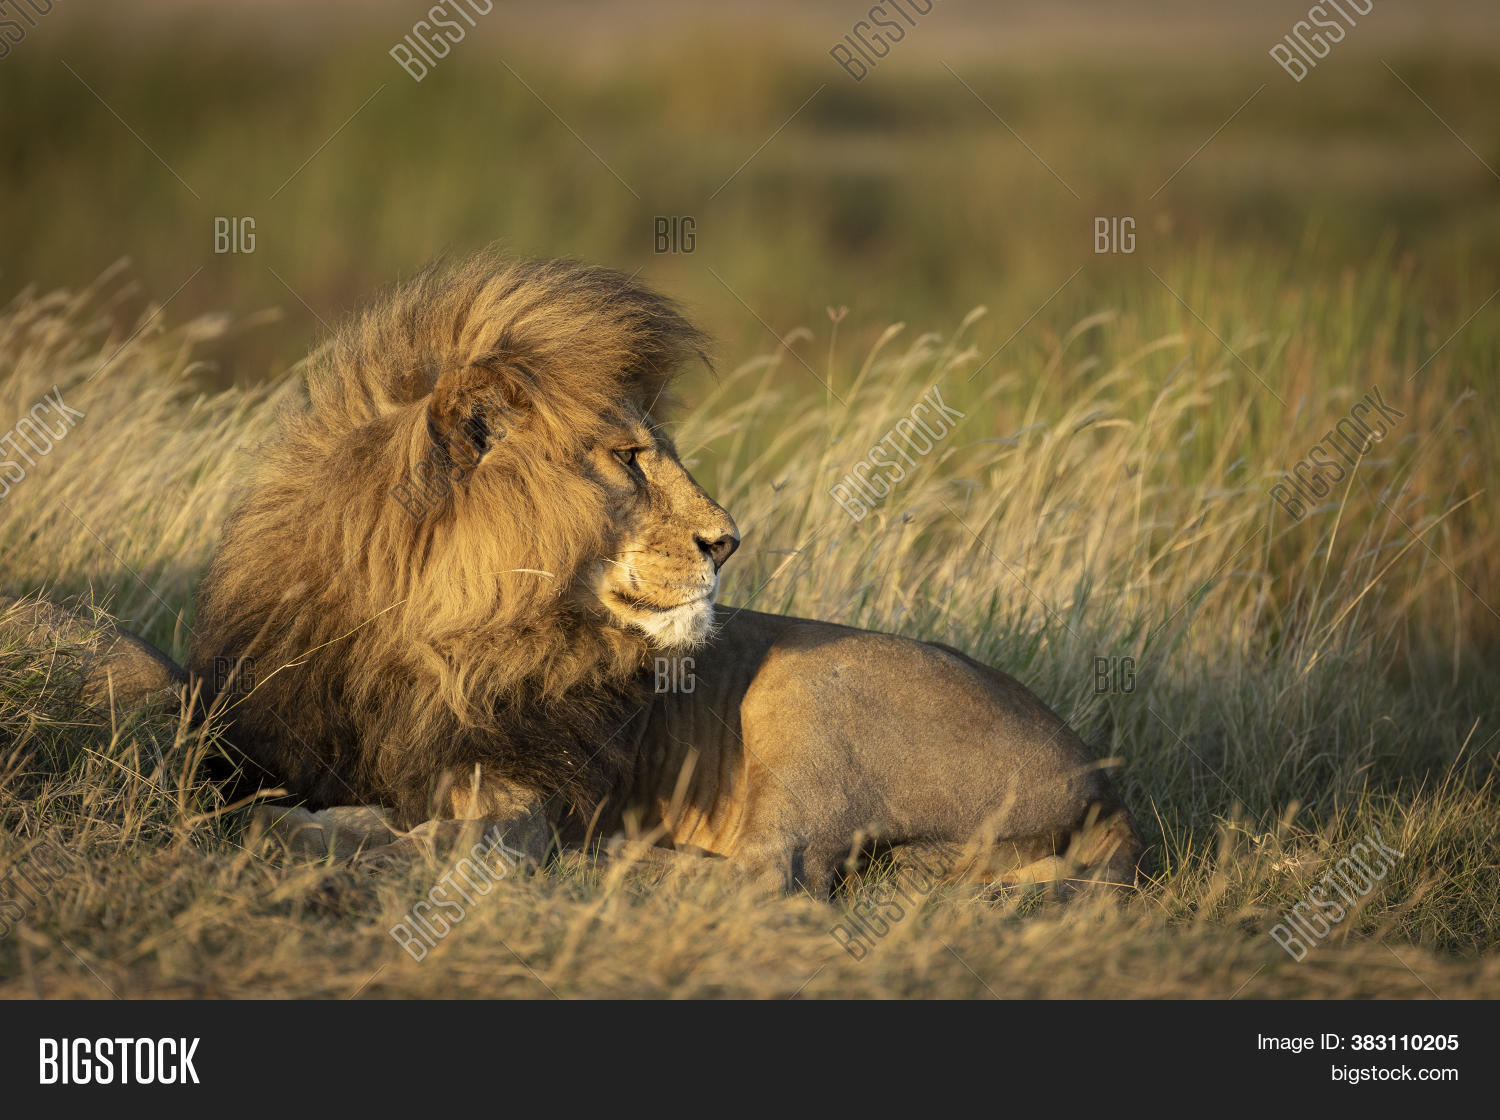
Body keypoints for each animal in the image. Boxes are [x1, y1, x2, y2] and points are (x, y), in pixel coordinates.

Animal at [188, 250, 1148, 894]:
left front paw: (310, 833)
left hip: (809, 691)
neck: (423, 634)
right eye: (628, 459)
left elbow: (438, 839)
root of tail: (1105, 786)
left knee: (781, 878)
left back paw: (627, 861)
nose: (728, 541)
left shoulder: (525, 800)